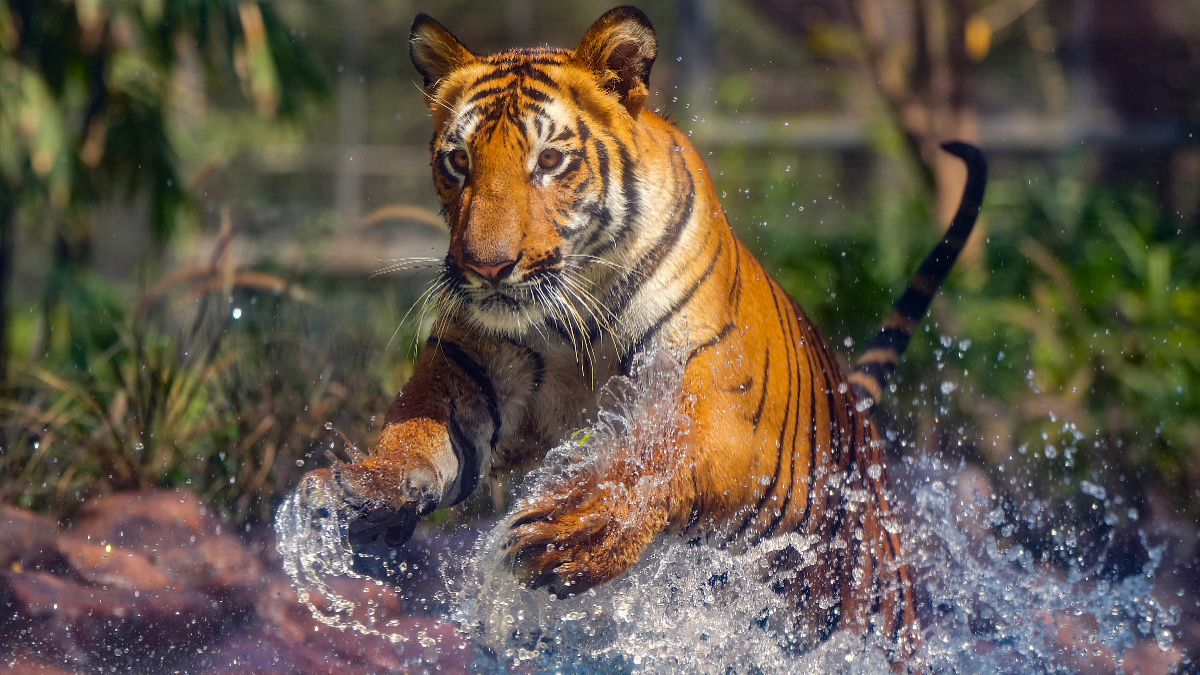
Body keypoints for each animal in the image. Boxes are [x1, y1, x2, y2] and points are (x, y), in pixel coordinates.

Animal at [293, 5, 986, 667]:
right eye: (458, 161)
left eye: (549, 160)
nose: (486, 268)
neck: (574, 315)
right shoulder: (470, 368)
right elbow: (418, 433)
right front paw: (362, 490)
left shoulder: (717, 403)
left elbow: (662, 452)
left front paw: (574, 531)